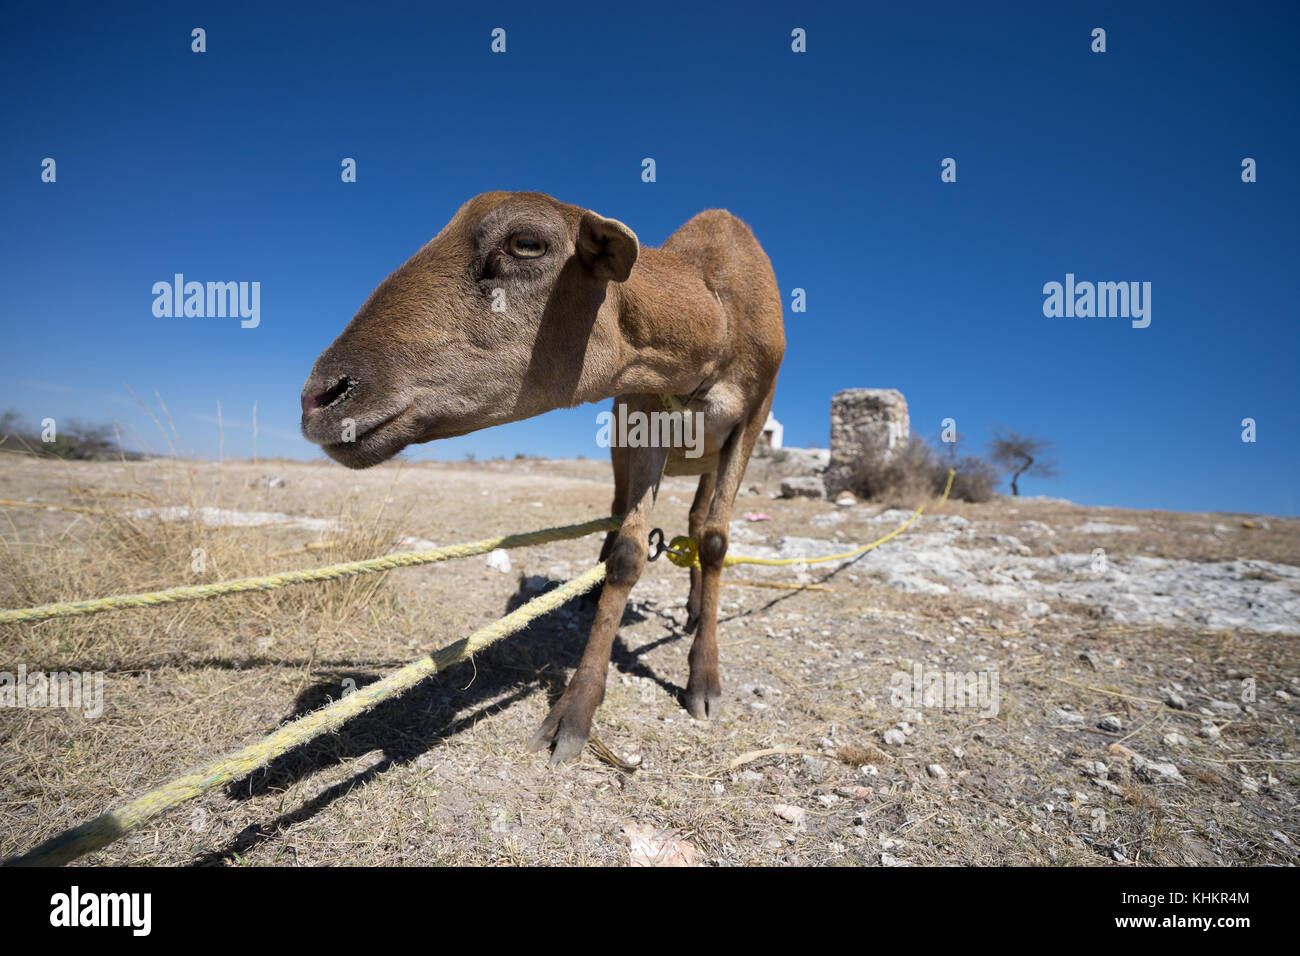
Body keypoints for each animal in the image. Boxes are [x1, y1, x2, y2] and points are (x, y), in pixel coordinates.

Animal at [301, 191, 785, 763]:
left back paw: (691, 610)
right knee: (622, 513)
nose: (321, 397)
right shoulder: (643, 410)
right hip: (623, 439)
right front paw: (575, 712)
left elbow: (714, 542)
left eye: (527, 243)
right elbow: (628, 553)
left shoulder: (752, 419)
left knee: (697, 521)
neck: (714, 317)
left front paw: (704, 682)